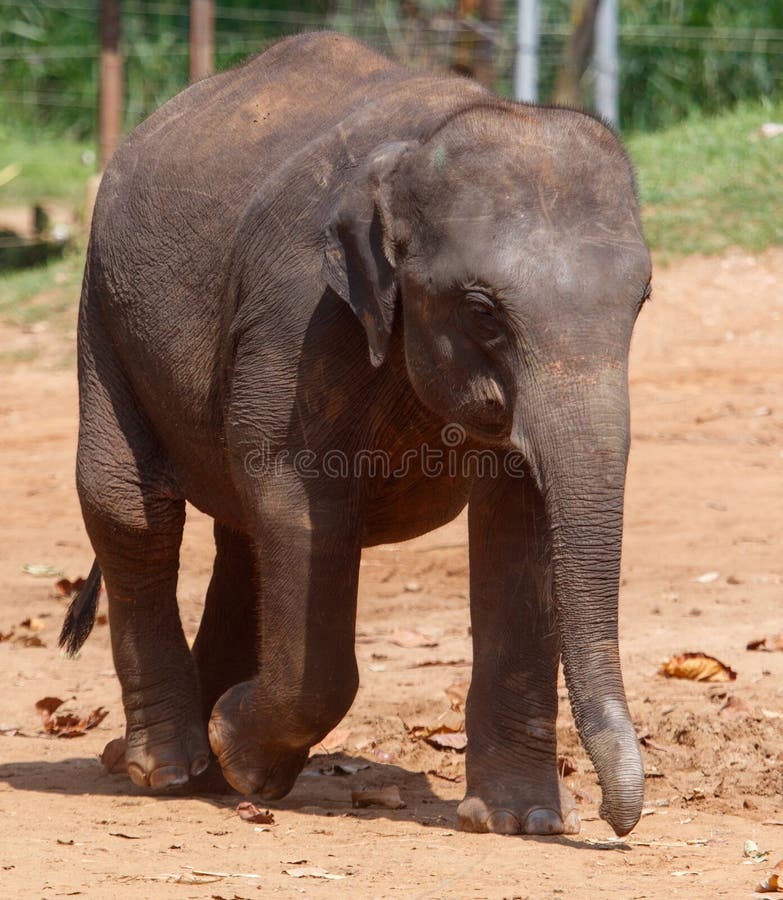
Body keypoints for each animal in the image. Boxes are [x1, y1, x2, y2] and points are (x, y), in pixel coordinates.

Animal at [61, 30, 652, 838]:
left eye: (642, 301)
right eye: (482, 311)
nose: (618, 825)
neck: (420, 146)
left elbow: (522, 524)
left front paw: (519, 822)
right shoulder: (299, 321)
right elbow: (299, 501)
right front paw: (246, 754)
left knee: (242, 539)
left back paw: (196, 764)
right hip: (105, 312)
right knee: (132, 507)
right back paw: (171, 767)